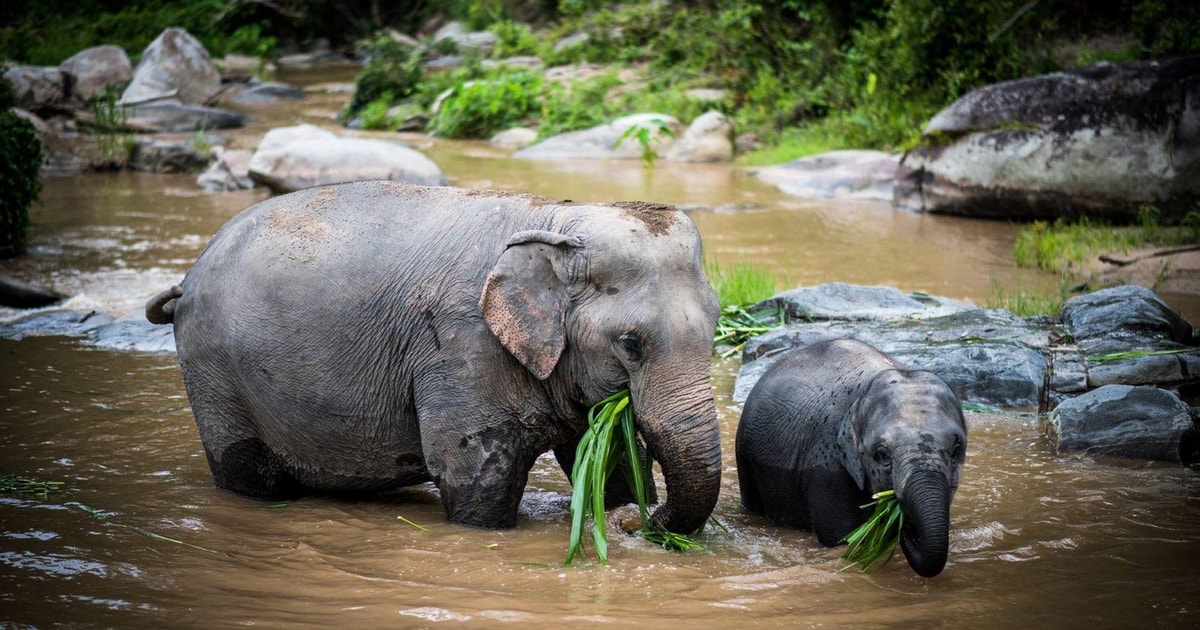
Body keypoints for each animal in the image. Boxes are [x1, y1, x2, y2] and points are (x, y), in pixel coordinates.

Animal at [145, 181, 722, 534]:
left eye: (717, 327)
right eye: (631, 343)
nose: (638, 524)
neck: (554, 217)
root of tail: (186, 281)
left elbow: (611, 461)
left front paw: (619, 507)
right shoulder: (460, 342)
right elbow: (478, 476)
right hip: (214, 372)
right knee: (248, 474)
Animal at [735, 339, 967, 577]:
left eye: (956, 449)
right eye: (882, 455)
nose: (904, 524)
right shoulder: (827, 462)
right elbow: (841, 536)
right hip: (745, 457)